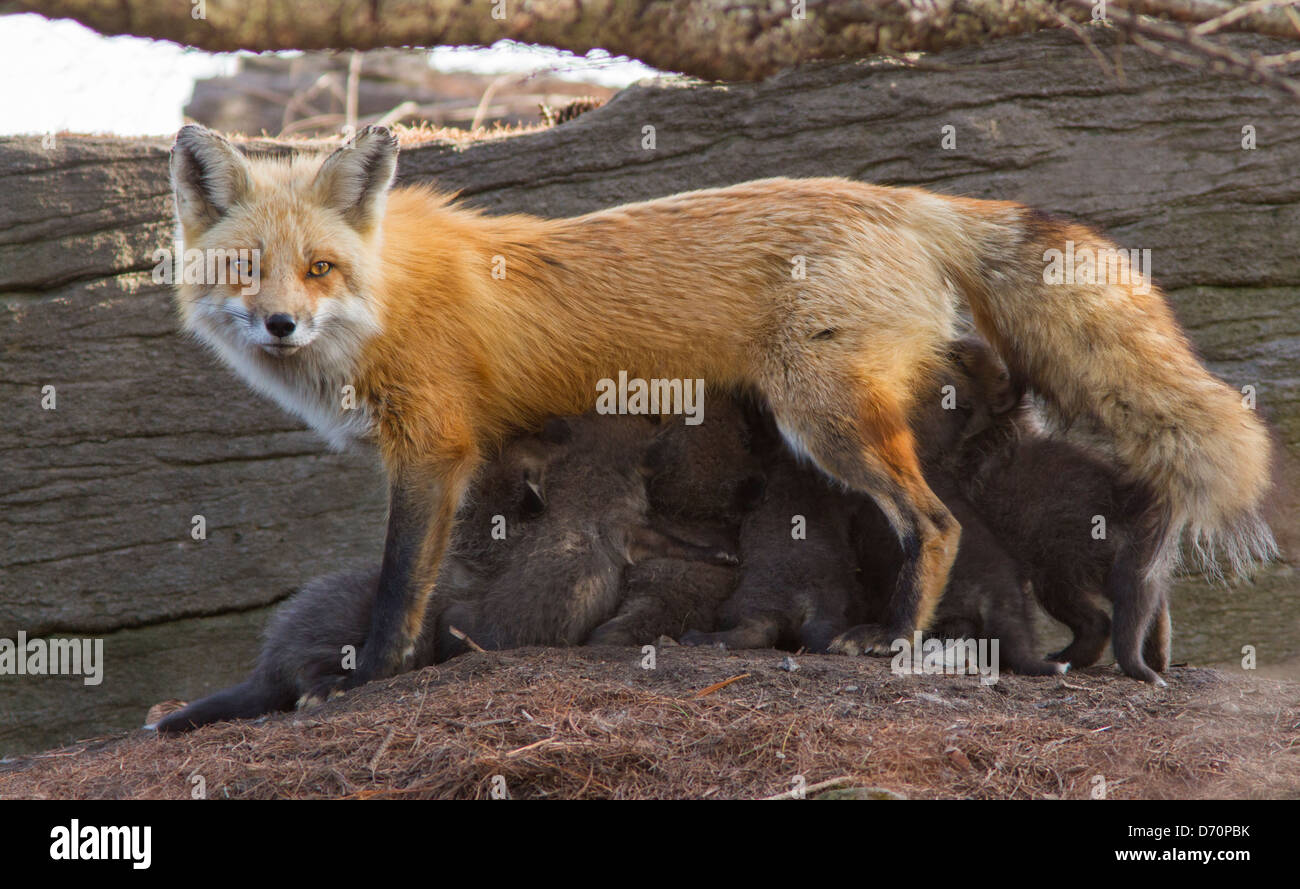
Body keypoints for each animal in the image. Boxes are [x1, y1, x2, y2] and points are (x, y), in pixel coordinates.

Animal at [168, 124, 1275, 697]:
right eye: (246, 268)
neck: (387, 294)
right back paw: (1132, 644)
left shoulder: (433, 450)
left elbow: (403, 583)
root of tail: (901, 198)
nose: (278, 324)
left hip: (825, 419)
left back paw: (893, 641)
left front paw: (374, 671)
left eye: (318, 268)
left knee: (937, 521)